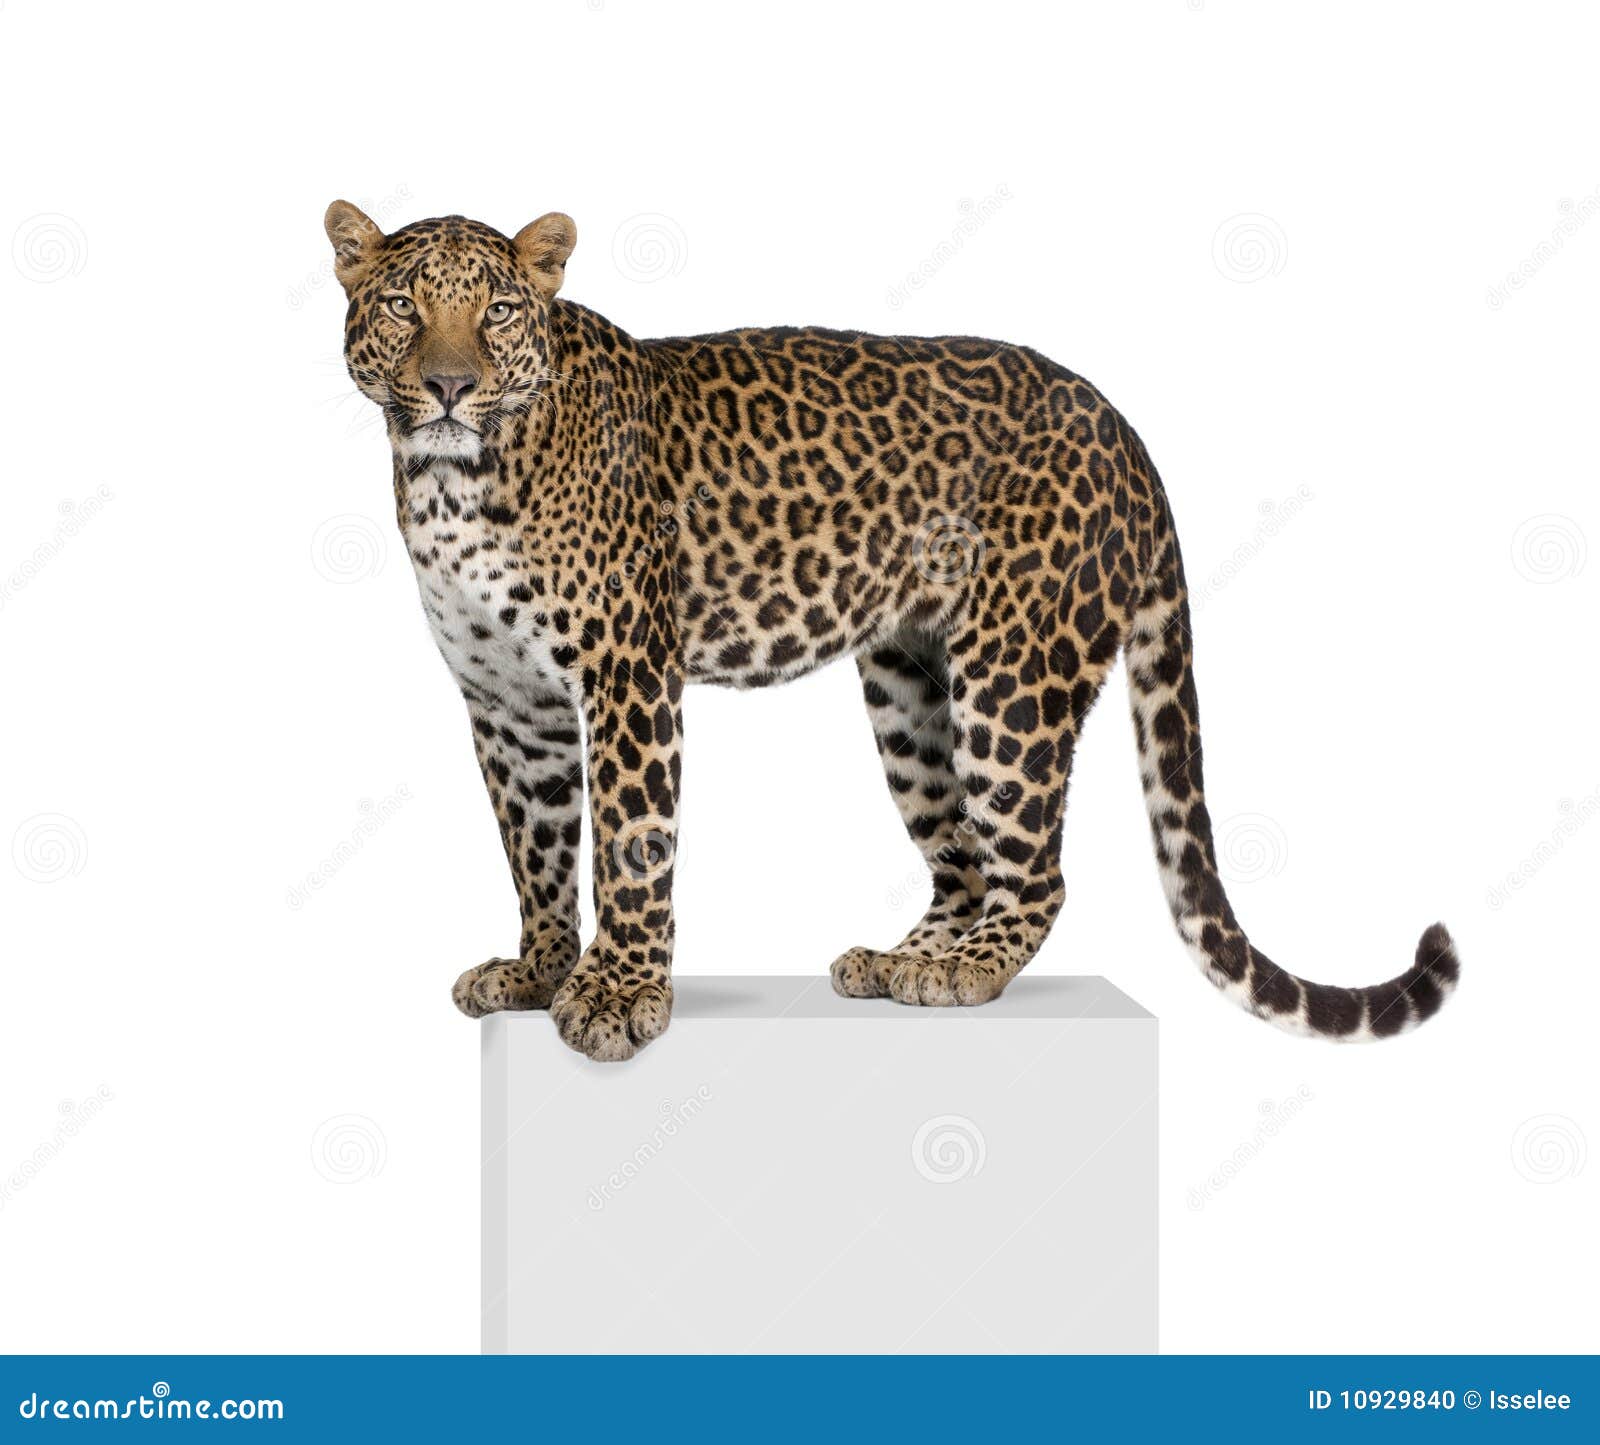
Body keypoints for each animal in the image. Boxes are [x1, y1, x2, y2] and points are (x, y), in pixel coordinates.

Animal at [324, 200, 1461, 1062]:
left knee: (1034, 871)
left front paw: (617, 995)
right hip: (907, 688)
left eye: (495, 312)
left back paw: (964, 972)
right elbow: (537, 845)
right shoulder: (508, 703)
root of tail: (1126, 430)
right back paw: (904, 959)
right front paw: (538, 966)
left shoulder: (626, 678)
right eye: (404, 304)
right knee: (963, 858)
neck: (451, 483)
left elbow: (634, 842)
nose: (450, 386)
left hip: (1012, 680)